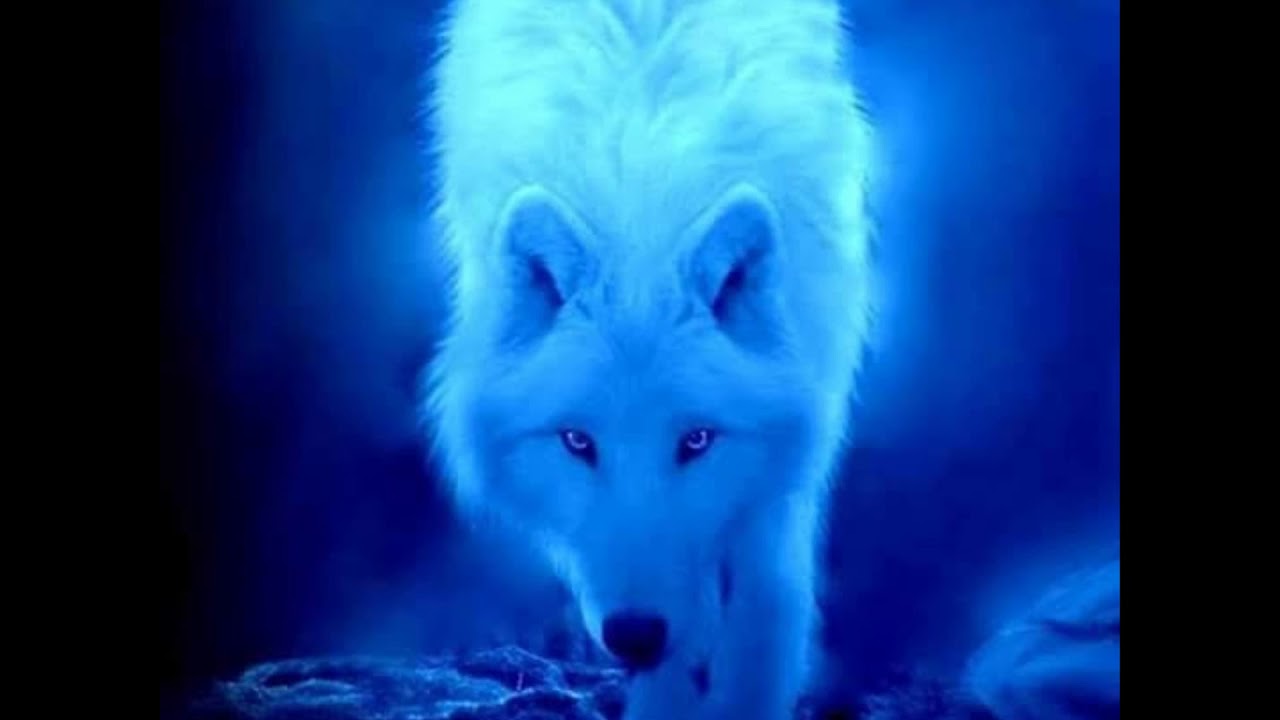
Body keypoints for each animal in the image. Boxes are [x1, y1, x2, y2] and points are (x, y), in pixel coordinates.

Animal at [422, 0, 876, 717]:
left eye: (697, 441)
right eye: (577, 441)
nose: (635, 634)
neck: (640, 216)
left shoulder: (793, 434)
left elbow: (765, 601)